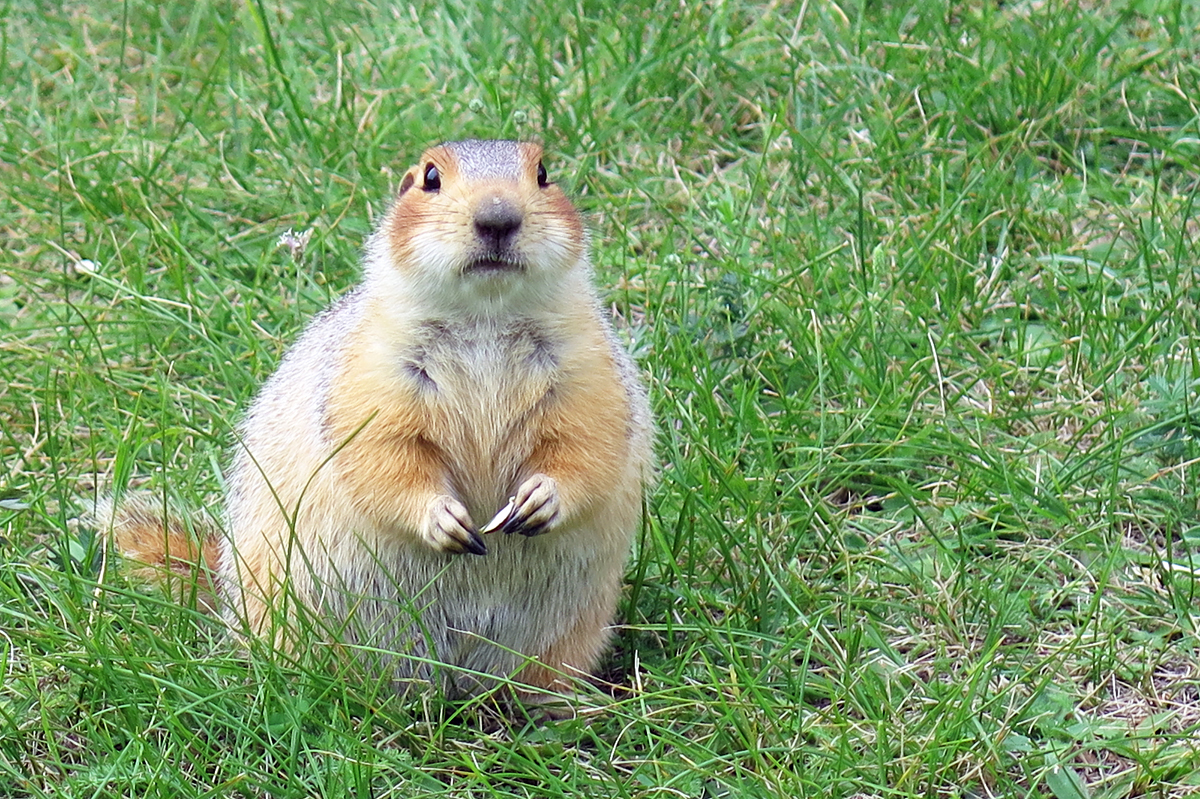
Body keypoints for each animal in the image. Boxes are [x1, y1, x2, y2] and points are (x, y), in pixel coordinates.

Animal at [103, 138, 657, 705]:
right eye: (430, 177)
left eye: (544, 173)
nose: (498, 217)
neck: (485, 317)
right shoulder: (371, 371)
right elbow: (384, 451)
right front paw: (442, 520)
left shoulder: (589, 366)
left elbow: (586, 440)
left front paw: (540, 499)